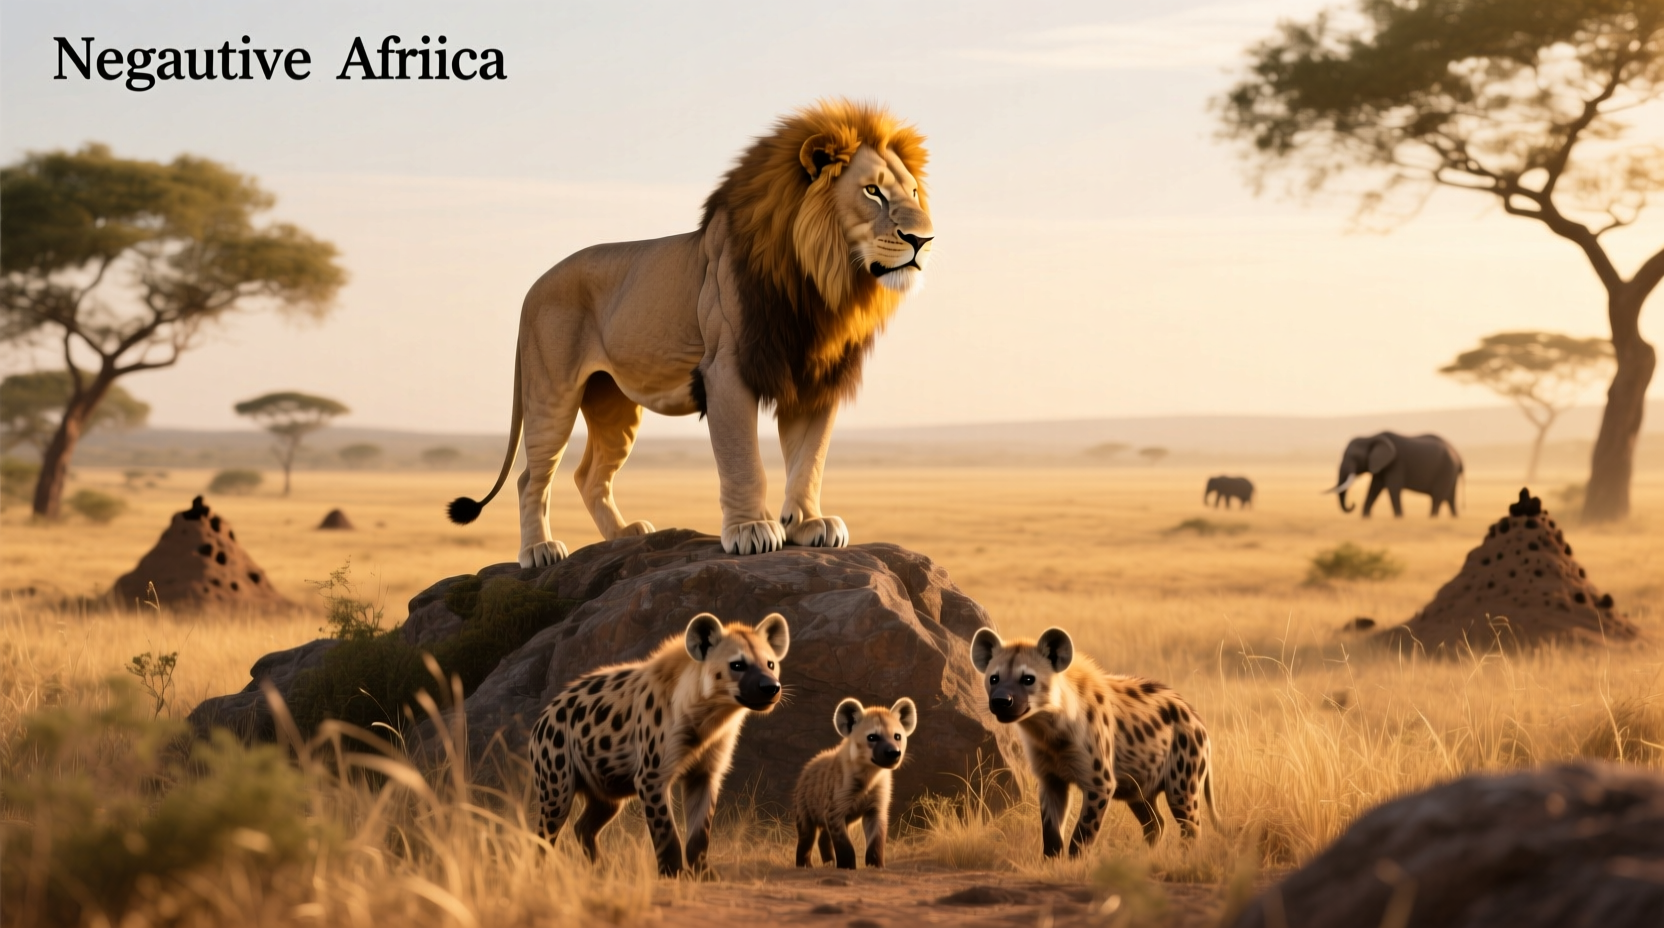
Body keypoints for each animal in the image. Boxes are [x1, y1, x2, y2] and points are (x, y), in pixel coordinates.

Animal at [448, 100, 934, 566]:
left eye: (912, 192)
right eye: (872, 191)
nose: (924, 240)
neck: (819, 284)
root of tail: (533, 287)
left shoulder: (814, 374)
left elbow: (809, 458)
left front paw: (809, 523)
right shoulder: (726, 369)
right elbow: (743, 457)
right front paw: (750, 529)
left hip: (612, 403)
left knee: (589, 475)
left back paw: (625, 536)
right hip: (553, 392)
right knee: (532, 476)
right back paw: (539, 551)